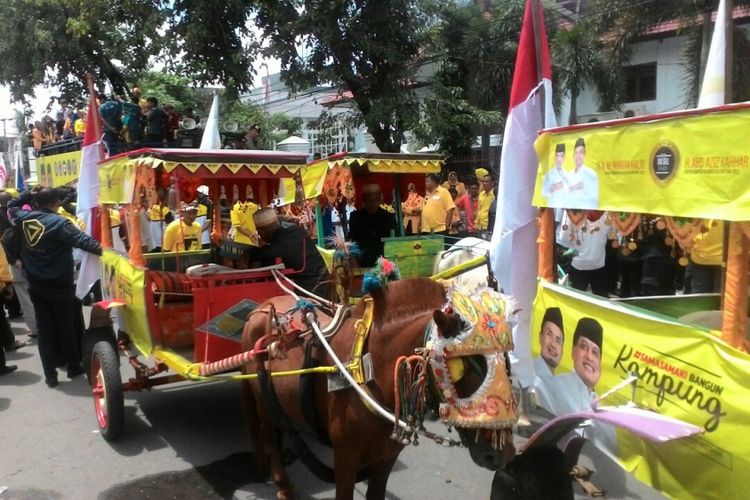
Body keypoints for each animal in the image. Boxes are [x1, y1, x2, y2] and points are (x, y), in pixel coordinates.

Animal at [241, 278, 516, 500]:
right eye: (460, 368)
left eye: (506, 363)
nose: (502, 455)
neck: (367, 370)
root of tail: (260, 308)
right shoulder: (345, 457)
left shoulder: (386, 457)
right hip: (261, 396)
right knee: (269, 433)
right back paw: (282, 484)